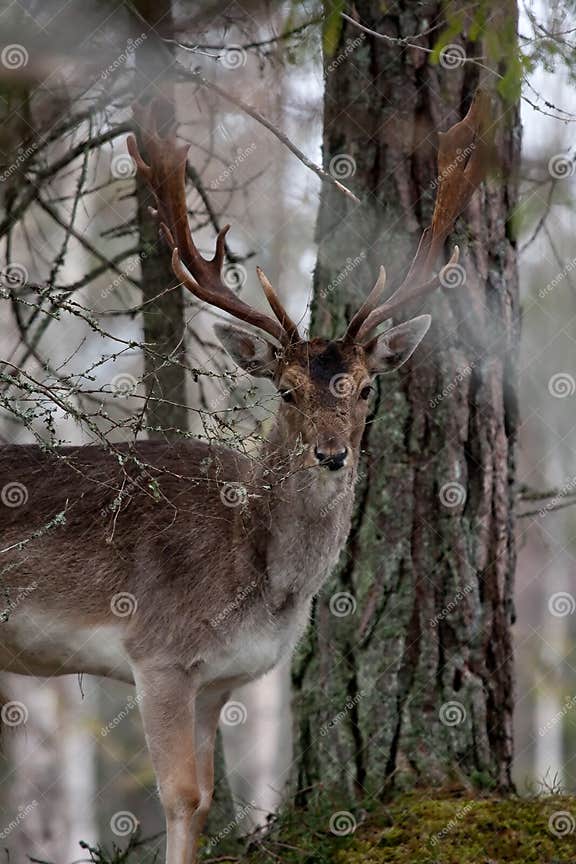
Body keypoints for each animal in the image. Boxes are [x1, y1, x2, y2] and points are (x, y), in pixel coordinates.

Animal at [0, 90, 490, 864]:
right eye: (286, 390)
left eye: (365, 389)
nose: (331, 455)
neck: (264, 583)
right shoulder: (158, 652)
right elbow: (181, 796)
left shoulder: (221, 679)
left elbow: (205, 803)